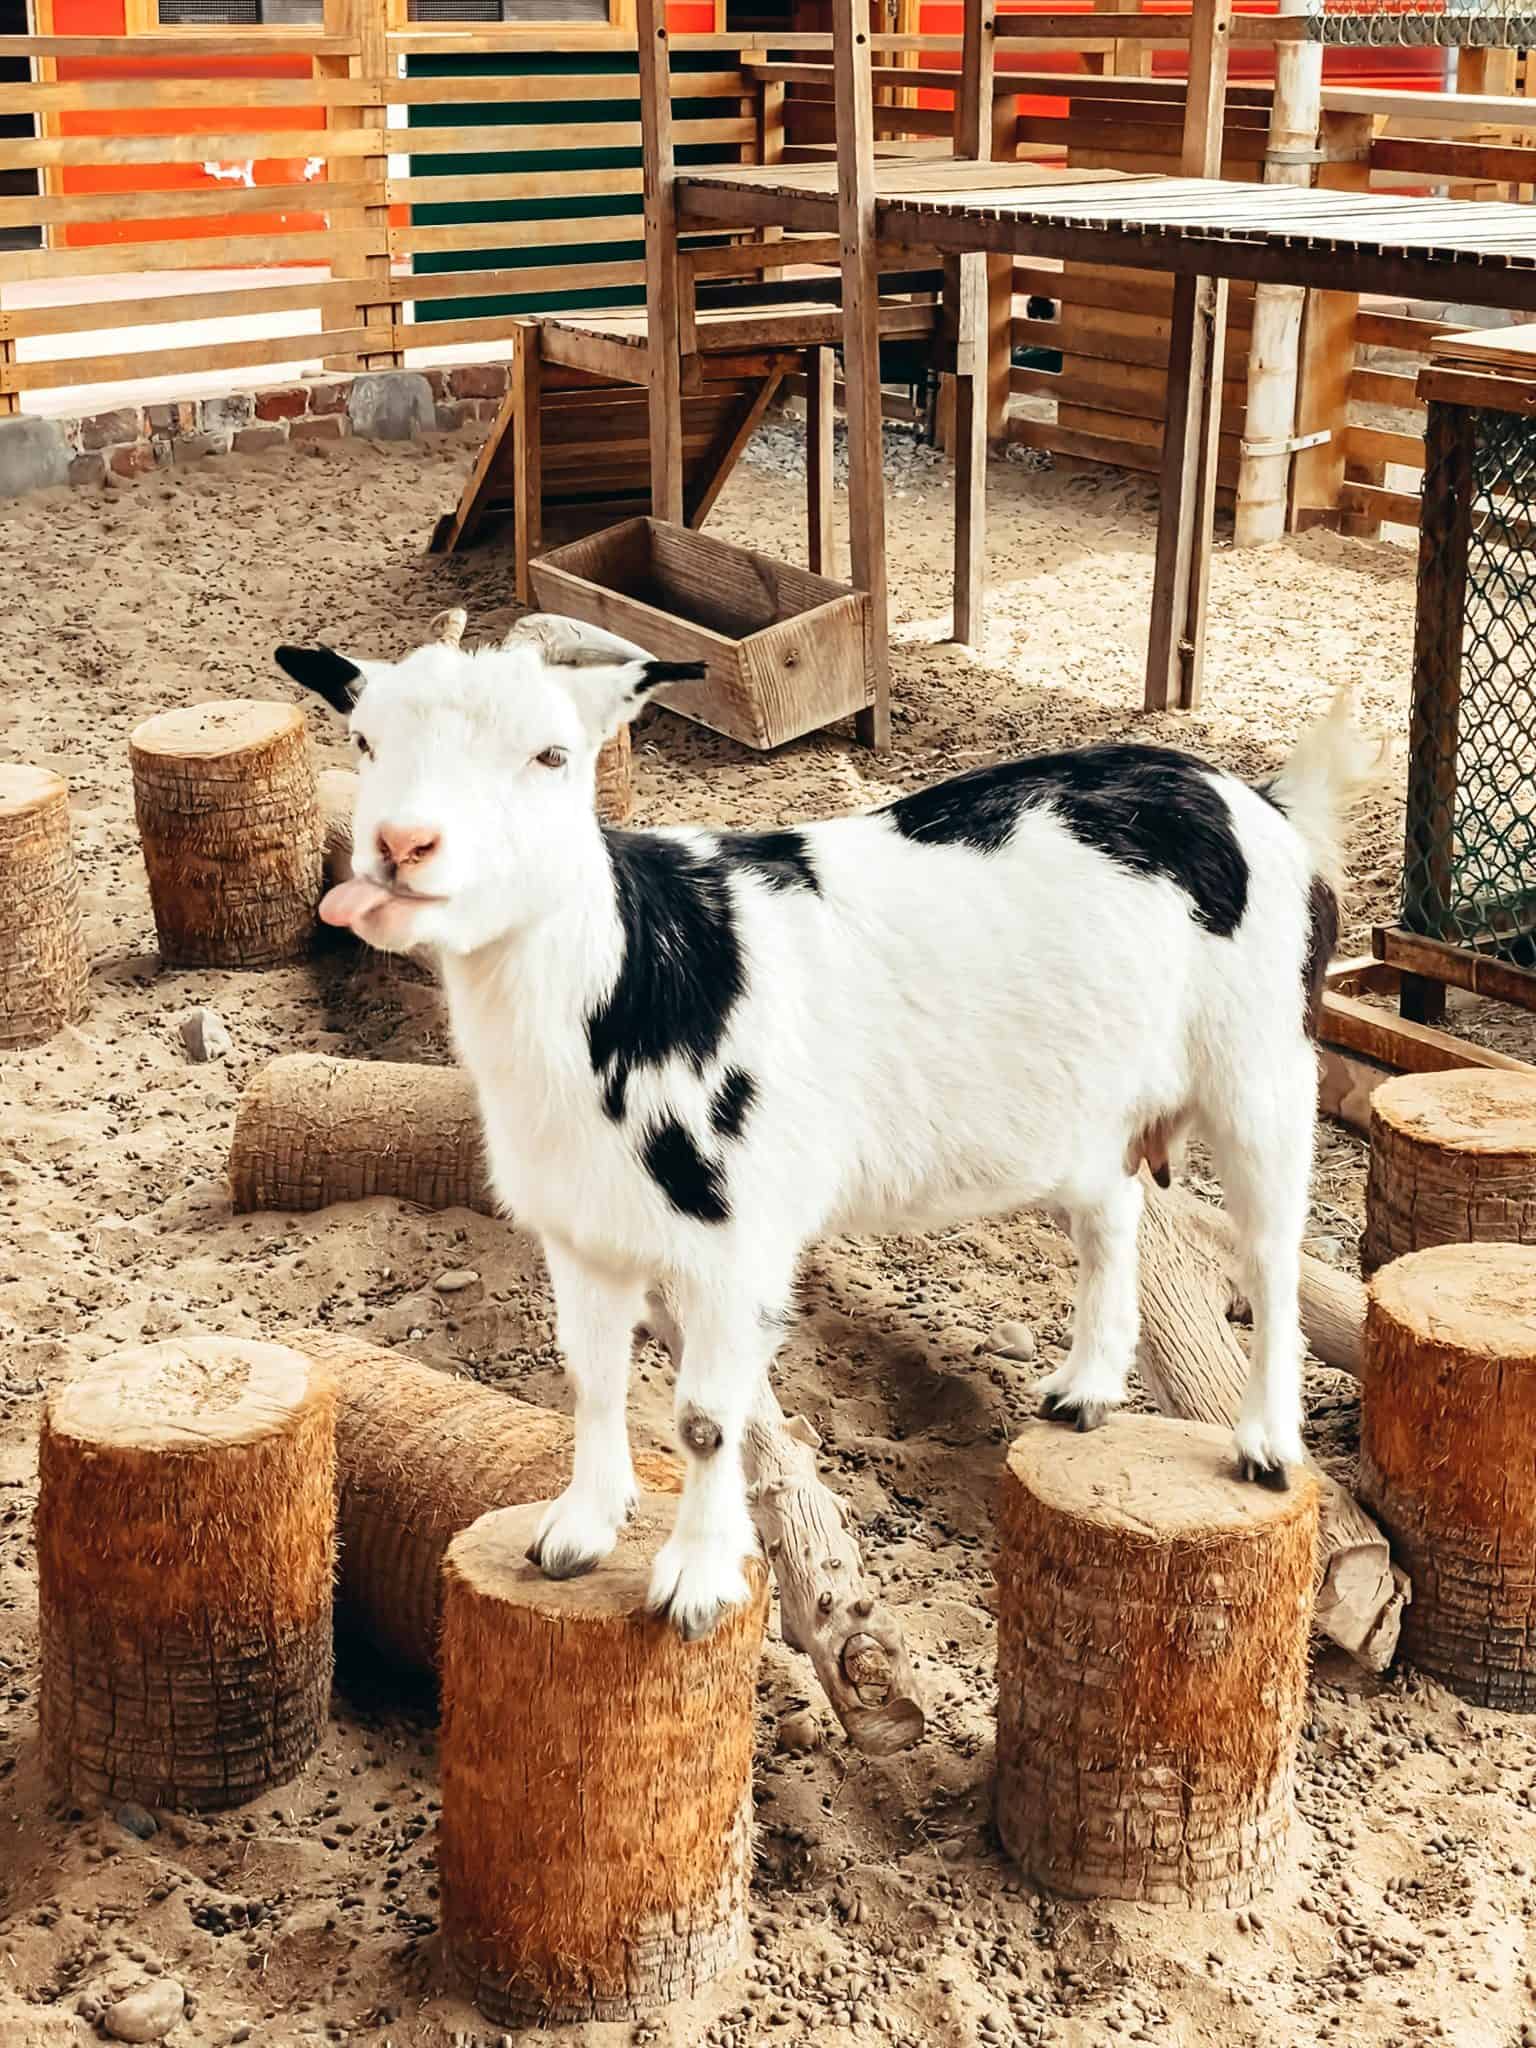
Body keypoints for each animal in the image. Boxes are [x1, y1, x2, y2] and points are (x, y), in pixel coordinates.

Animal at [276, 618, 1375, 1642]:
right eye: (366, 740)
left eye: (552, 755)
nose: (402, 846)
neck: (637, 974)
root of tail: (1255, 798)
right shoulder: (581, 1229)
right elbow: (591, 1376)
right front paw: (578, 1531)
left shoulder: (735, 1237)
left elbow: (707, 1418)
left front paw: (696, 1581)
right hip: (1091, 1095)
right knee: (1112, 1215)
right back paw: (1086, 1390)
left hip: (1264, 1064)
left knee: (1270, 1254)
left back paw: (1265, 1444)